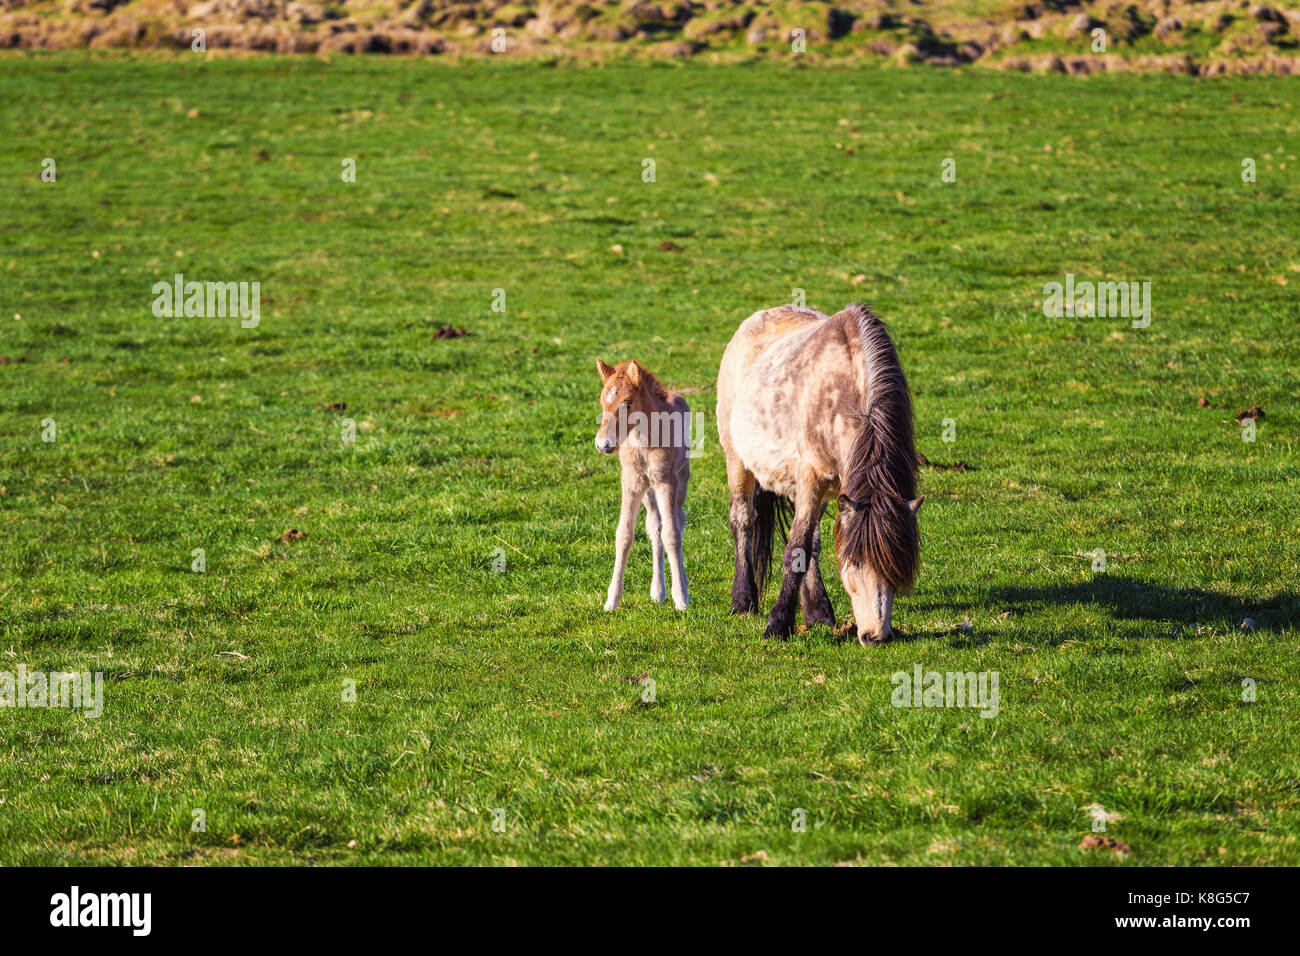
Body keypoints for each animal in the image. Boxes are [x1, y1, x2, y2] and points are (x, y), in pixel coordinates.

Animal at [594, 358, 691, 612]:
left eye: (627, 404)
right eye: (602, 402)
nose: (602, 444)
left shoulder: (666, 480)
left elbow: (672, 535)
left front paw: (682, 599)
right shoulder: (631, 482)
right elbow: (624, 534)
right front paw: (611, 600)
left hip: (681, 480)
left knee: (677, 521)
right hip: (649, 492)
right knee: (654, 526)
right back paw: (657, 592)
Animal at [716, 303, 922, 644]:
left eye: (896, 567)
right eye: (854, 561)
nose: (876, 636)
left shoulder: (828, 484)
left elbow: (807, 543)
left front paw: (816, 615)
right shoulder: (811, 476)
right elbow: (796, 546)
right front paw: (777, 625)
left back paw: (818, 612)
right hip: (737, 459)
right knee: (743, 519)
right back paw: (743, 601)